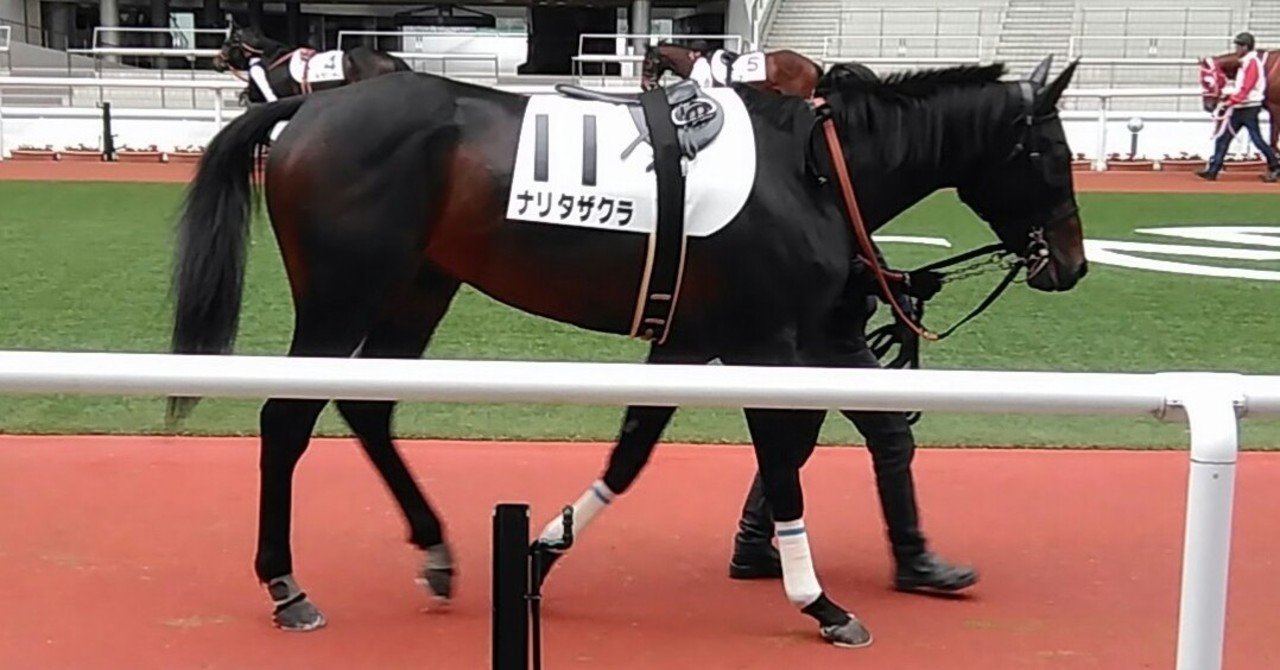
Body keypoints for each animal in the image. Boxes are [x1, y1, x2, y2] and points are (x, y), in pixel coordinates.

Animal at [167, 56, 1086, 646]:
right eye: (1052, 152)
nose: (1072, 264)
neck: (813, 173)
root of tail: (308, 109)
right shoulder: (759, 342)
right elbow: (780, 460)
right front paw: (819, 601)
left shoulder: (688, 340)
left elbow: (637, 447)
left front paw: (541, 553)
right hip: (341, 295)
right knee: (286, 419)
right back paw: (287, 586)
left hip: (422, 286)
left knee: (367, 406)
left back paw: (435, 548)